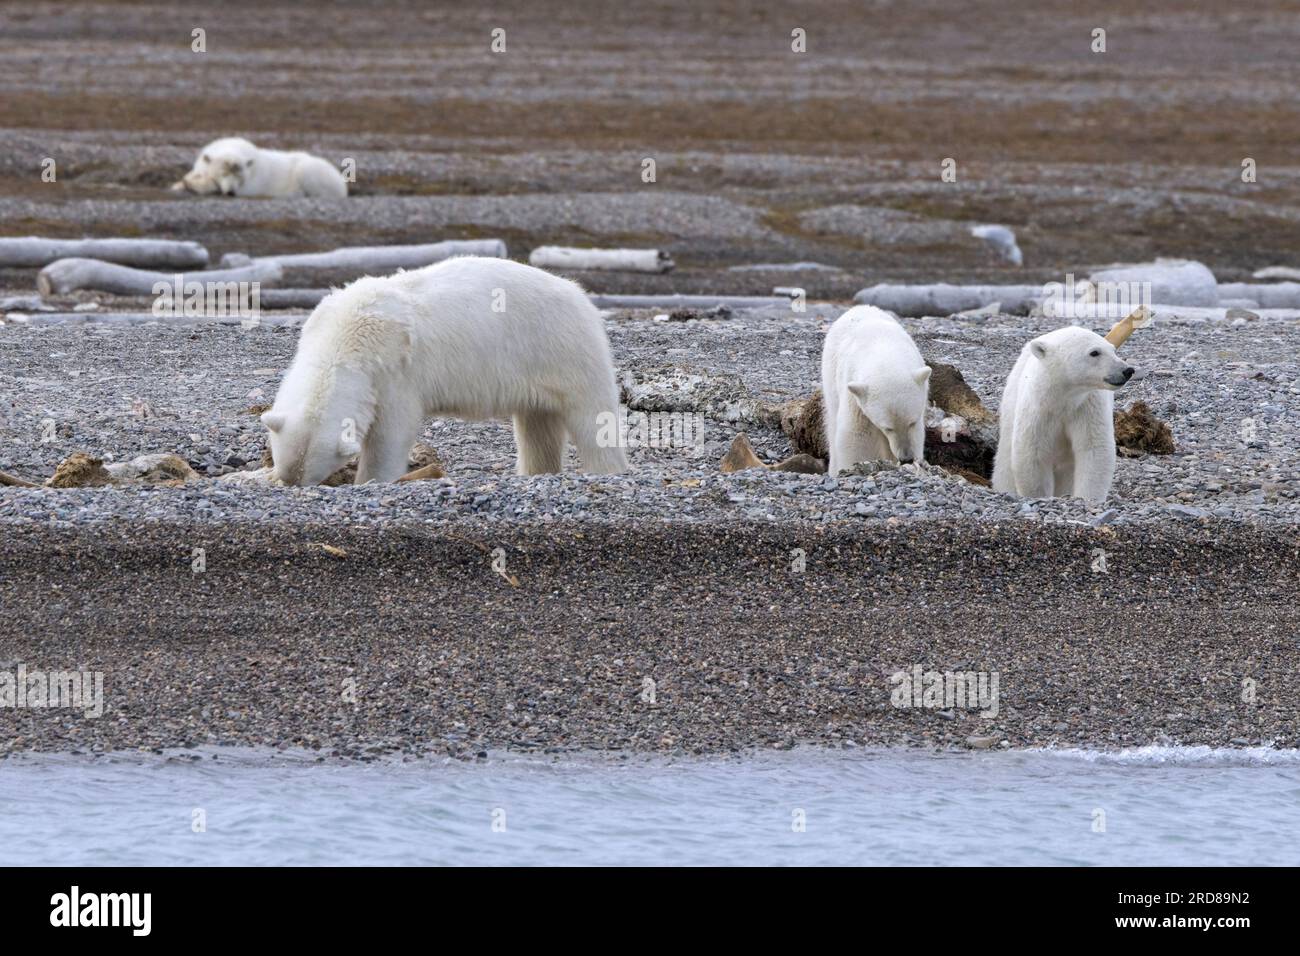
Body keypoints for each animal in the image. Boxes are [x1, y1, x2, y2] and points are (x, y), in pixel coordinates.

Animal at [171, 137, 347, 198]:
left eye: (239, 176)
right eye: (223, 173)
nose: (231, 192)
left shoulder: (251, 183)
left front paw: (193, 183)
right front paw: (180, 184)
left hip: (311, 170)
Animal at [261, 257, 628, 485]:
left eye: (311, 478)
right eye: (285, 471)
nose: (292, 485)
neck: (344, 338)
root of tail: (578, 293)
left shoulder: (394, 374)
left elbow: (390, 433)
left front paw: (370, 479)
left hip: (566, 349)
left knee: (592, 419)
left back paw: (606, 468)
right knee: (538, 425)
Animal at [821, 305, 931, 475]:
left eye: (911, 423)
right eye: (888, 428)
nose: (906, 458)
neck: (883, 347)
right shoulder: (854, 393)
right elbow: (856, 435)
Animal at [991, 326, 1135, 503]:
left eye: (1113, 349)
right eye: (1094, 352)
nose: (1127, 370)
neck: (1064, 398)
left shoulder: (1088, 406)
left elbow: (1094, 449)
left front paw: (1087, 498)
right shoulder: (1039, 409)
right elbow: (1033, 453)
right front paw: (1039, 496)